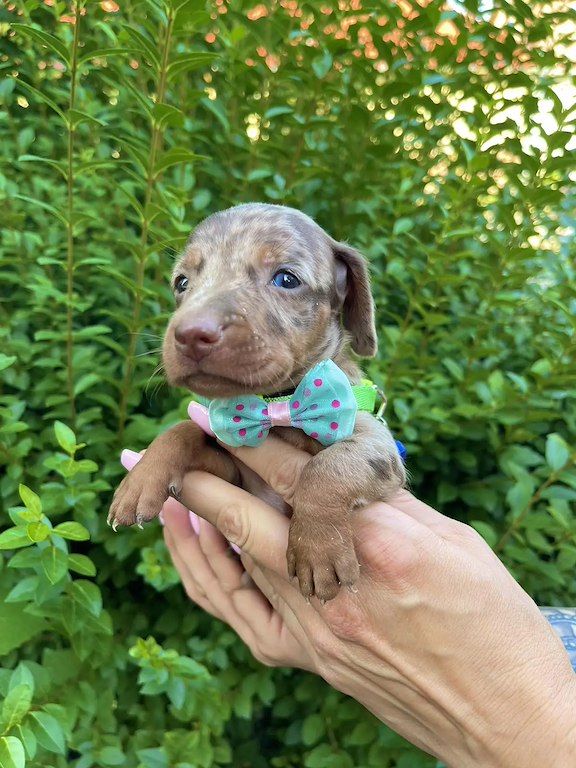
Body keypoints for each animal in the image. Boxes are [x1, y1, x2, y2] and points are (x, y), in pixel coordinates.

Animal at [109, 202, 404, 600]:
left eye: (286, 279)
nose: (191, 334)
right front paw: (140, 479)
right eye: (182, 283)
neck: (278, 406)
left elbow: (328, 468)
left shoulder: (379, 444)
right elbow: (184, 429)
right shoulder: (235, 474)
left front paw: (318, 549)